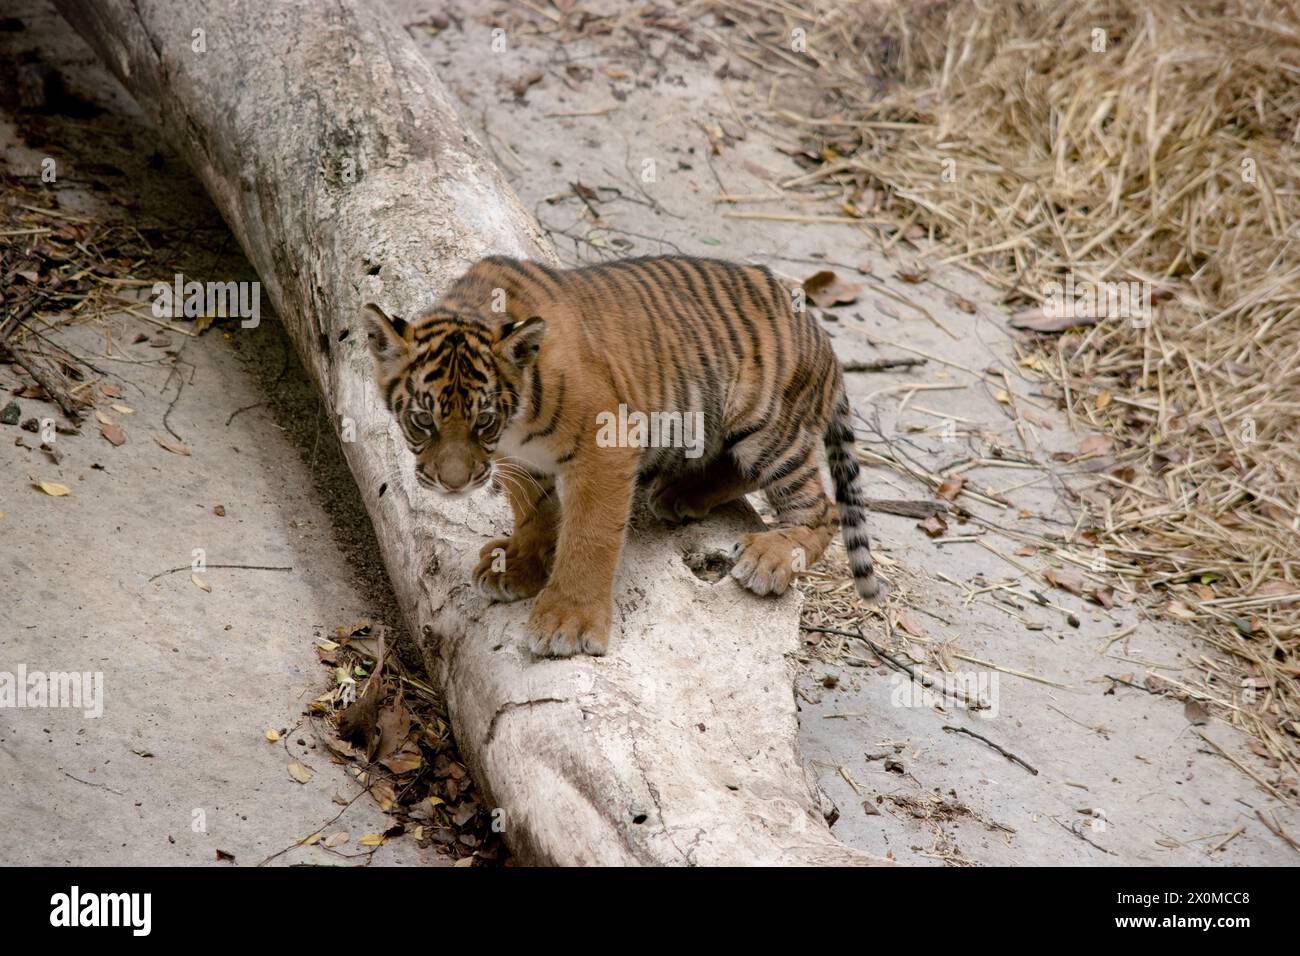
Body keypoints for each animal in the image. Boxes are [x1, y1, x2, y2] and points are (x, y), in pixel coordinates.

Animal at [364, 254, 884, 657]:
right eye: (423, 420)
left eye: (484, 421)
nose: (453, 484)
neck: (514, 428)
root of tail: (821, 334)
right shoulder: (519, 458)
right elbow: (533, 509)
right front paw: (520, 564)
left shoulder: (606, 445)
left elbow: (590, 536)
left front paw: (567, 621)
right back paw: (680, 495)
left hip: (766, 421)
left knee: (821, 507)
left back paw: (769, 557)